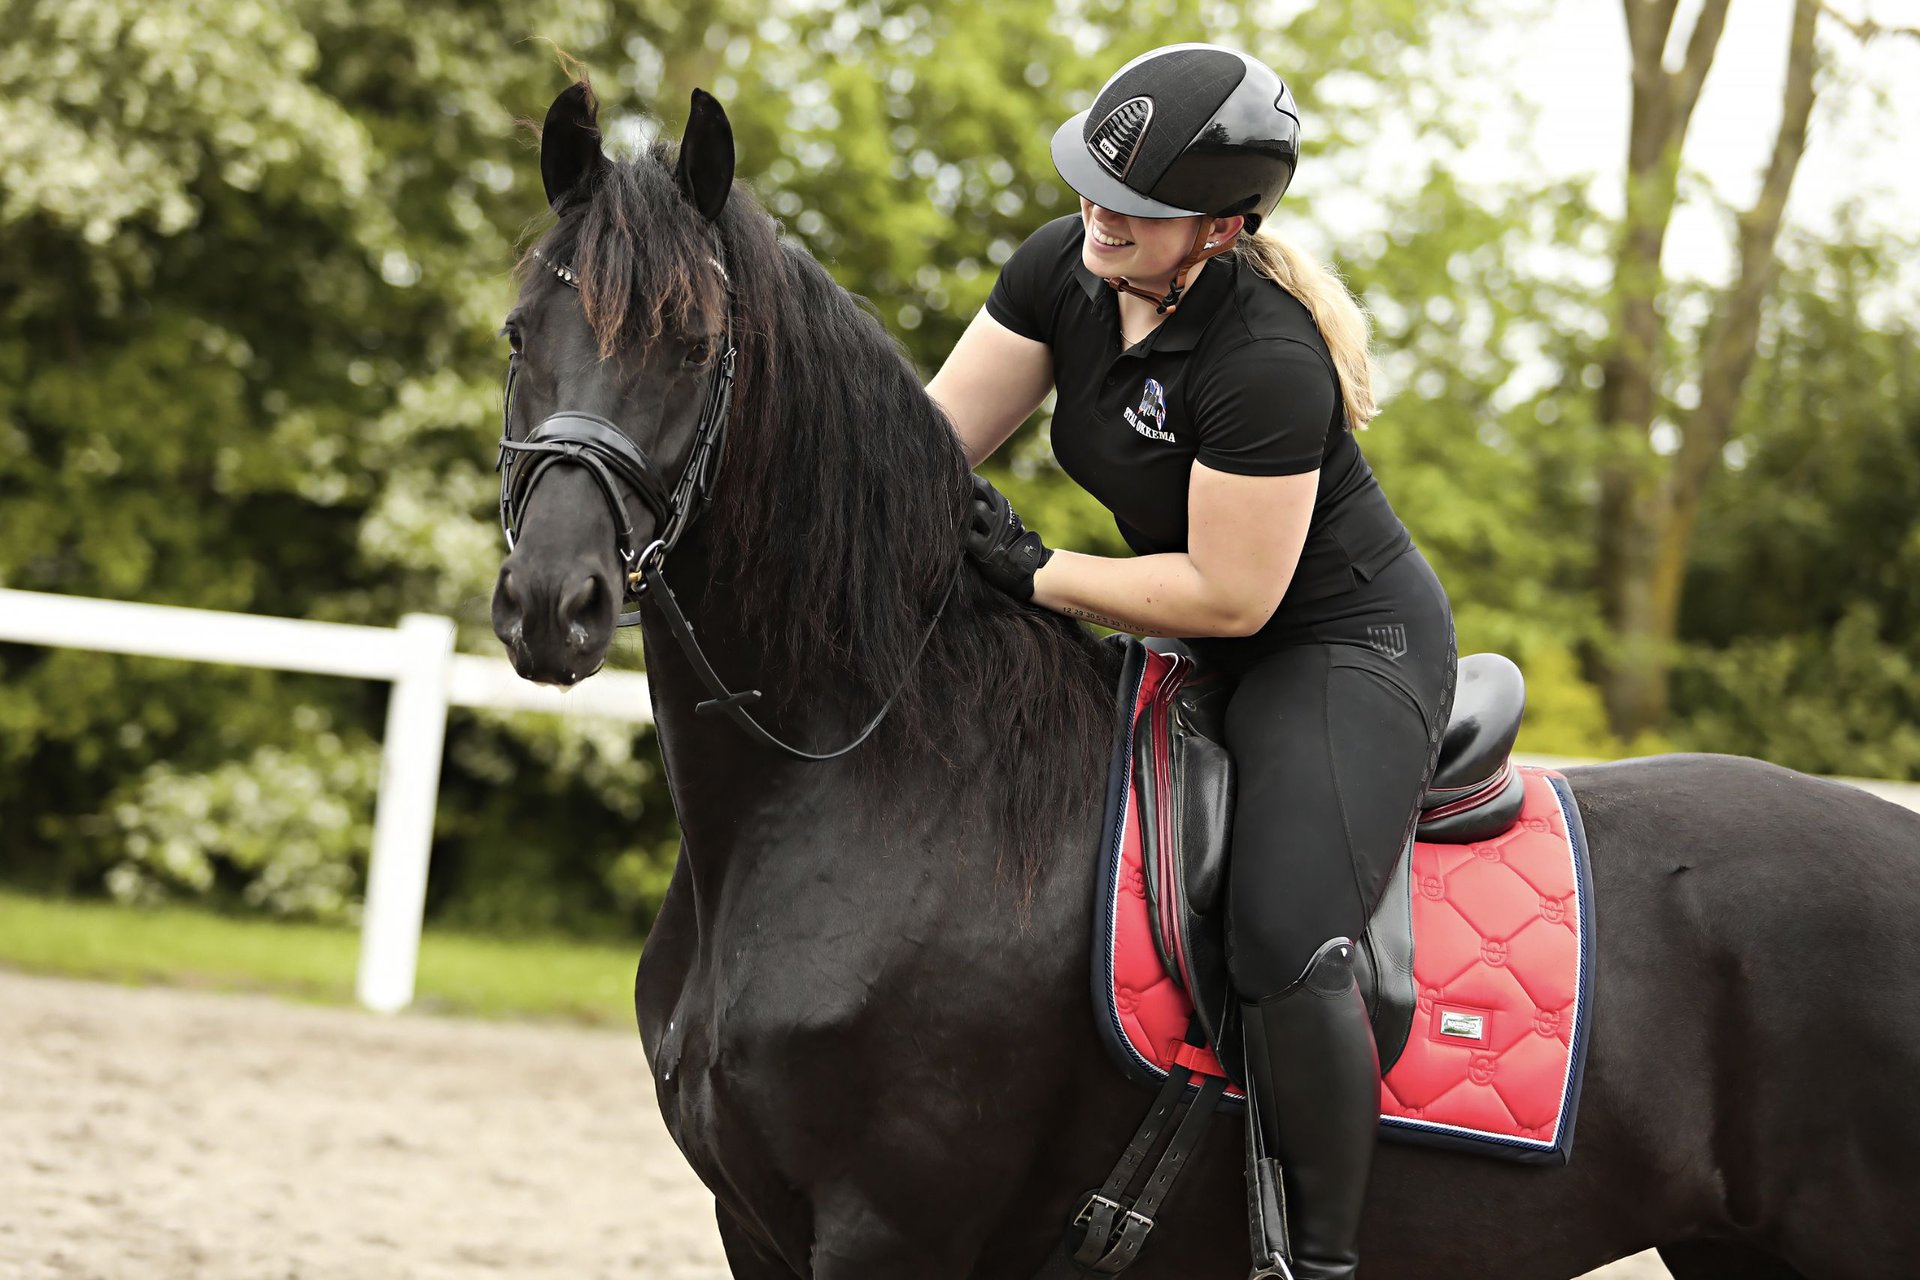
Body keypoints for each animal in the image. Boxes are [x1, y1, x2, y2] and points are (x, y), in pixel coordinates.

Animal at [489, 80, 1920, 1279]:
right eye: (517, 332)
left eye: (691, 344)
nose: (554, 602)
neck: (879, 787)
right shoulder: (758, 1227)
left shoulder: (889, 1230)